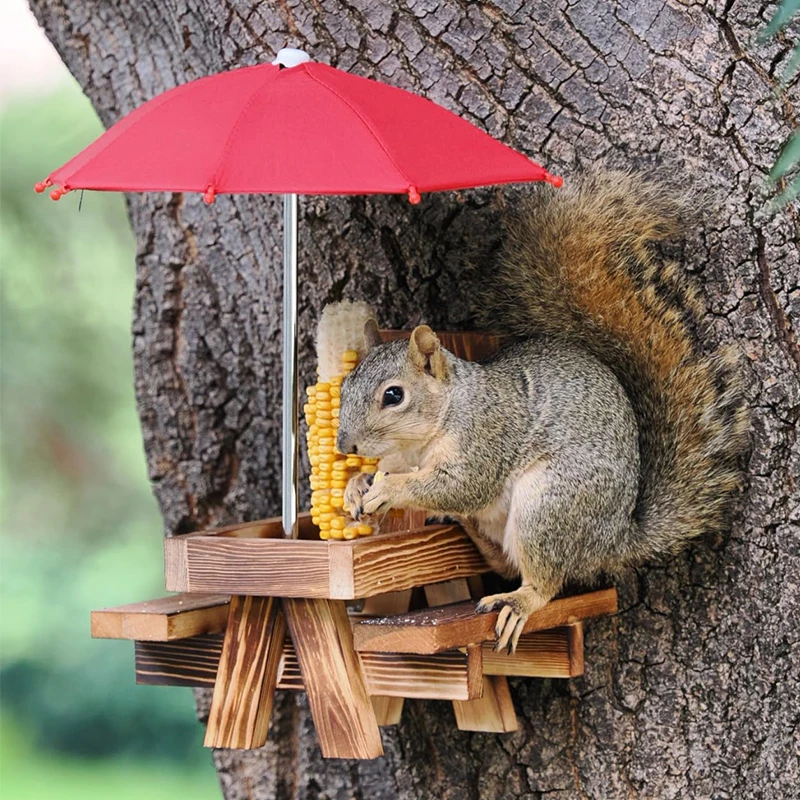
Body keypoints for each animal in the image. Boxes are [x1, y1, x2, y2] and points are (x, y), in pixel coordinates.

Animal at [338, 170, 749, 653]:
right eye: (346, 384)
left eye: (393, 395)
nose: (345, 444)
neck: (424, 436)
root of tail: (615, 538)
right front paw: (356, 486)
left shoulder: (485, 437)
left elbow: (460, 485)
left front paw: (388, 489)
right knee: (503, 561)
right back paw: (468, 530)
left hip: (551, 504)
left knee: (545, 581)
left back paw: (518, 601)